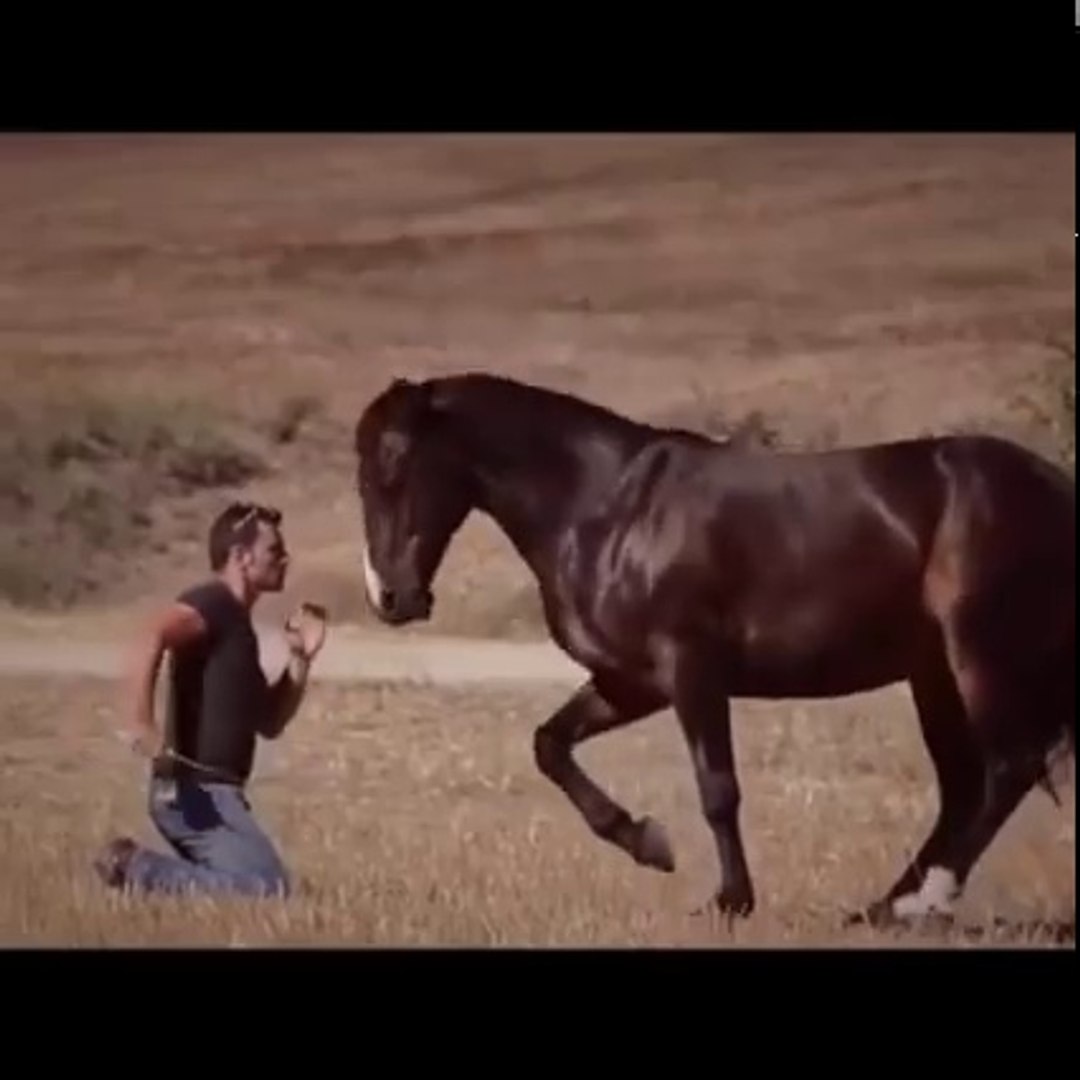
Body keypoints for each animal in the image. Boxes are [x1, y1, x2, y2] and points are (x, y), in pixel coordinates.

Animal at [351, 372, 1075, 927]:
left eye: (394, 463)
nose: (391, 596)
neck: (605, 509)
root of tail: (1054, 487)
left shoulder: (691, 669)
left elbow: (718, 789)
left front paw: (729, 900)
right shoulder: (630, 682)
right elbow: (550, 746)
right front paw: (649, 843)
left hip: (980, 654)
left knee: (1007, 770)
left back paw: (924, 903)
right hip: (934, 674)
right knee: (965, 787)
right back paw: (885, 907)